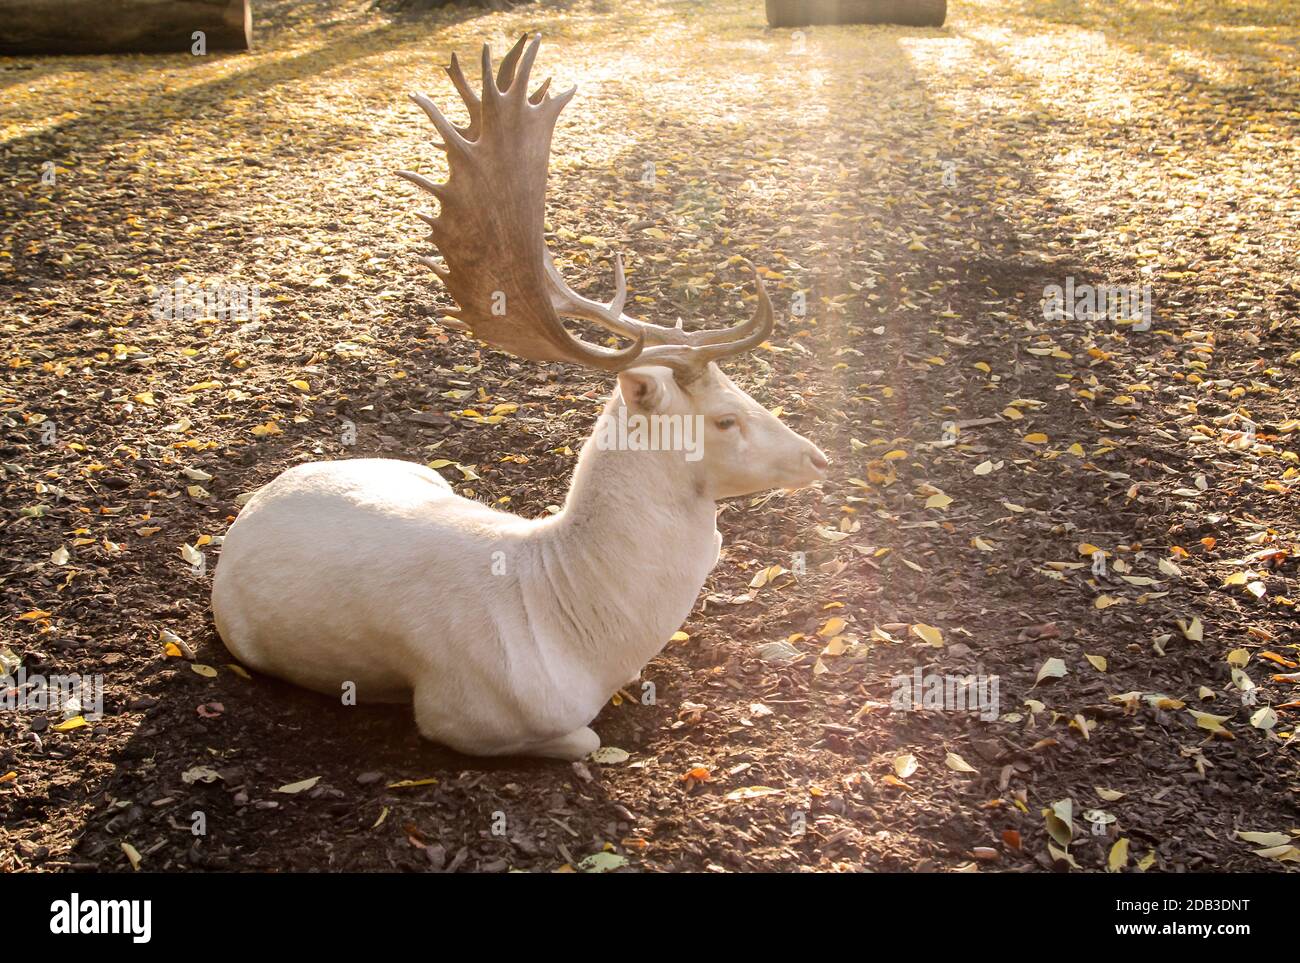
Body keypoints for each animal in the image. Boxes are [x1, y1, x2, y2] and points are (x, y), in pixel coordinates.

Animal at [210, 35, 828, 760]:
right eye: (726, 418)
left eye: (741, 390)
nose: (818, 458)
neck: (582, 637)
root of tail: (260, 496)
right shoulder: (459, 714)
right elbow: (584, 739)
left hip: (419, 471)